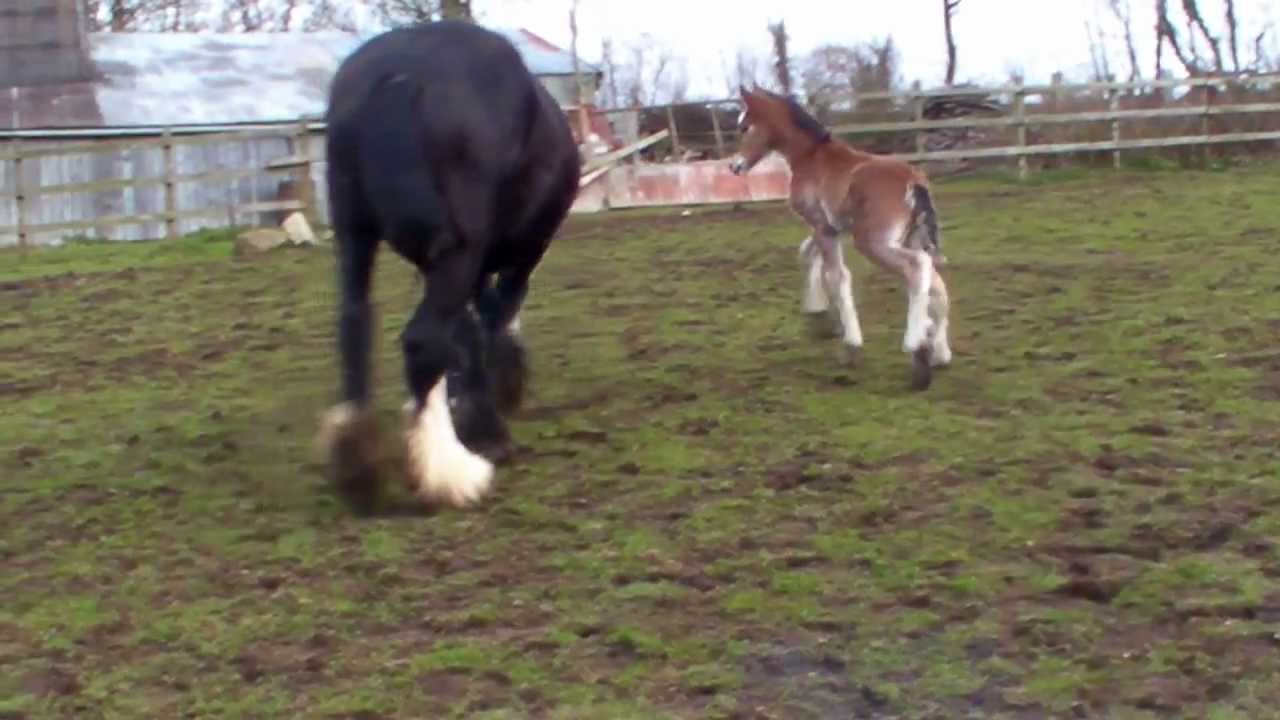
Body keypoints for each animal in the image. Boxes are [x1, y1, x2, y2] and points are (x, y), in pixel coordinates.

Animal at [316, 21, 581, 513]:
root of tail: (397, 75)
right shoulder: (517, 255)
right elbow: (493, 320)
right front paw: (488, 410)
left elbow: (468, 331)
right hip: (457, 250)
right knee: (423, 341)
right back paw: (448, 471)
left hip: (355, 234)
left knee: (355, 324)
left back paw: (358, 464)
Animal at [729, 84, 952, 391]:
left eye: (744, 127)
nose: (734, 166)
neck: (810, 156)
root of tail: (913, 179)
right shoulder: (831, 227)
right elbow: (808, 254)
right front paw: (818, 315)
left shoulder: (821, 225)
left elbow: (837, 275)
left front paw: (850, 345)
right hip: (911, 237)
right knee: (936, 281)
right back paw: (939, 351)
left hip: (874, 243)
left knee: (917, 267)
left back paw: (917, 348)